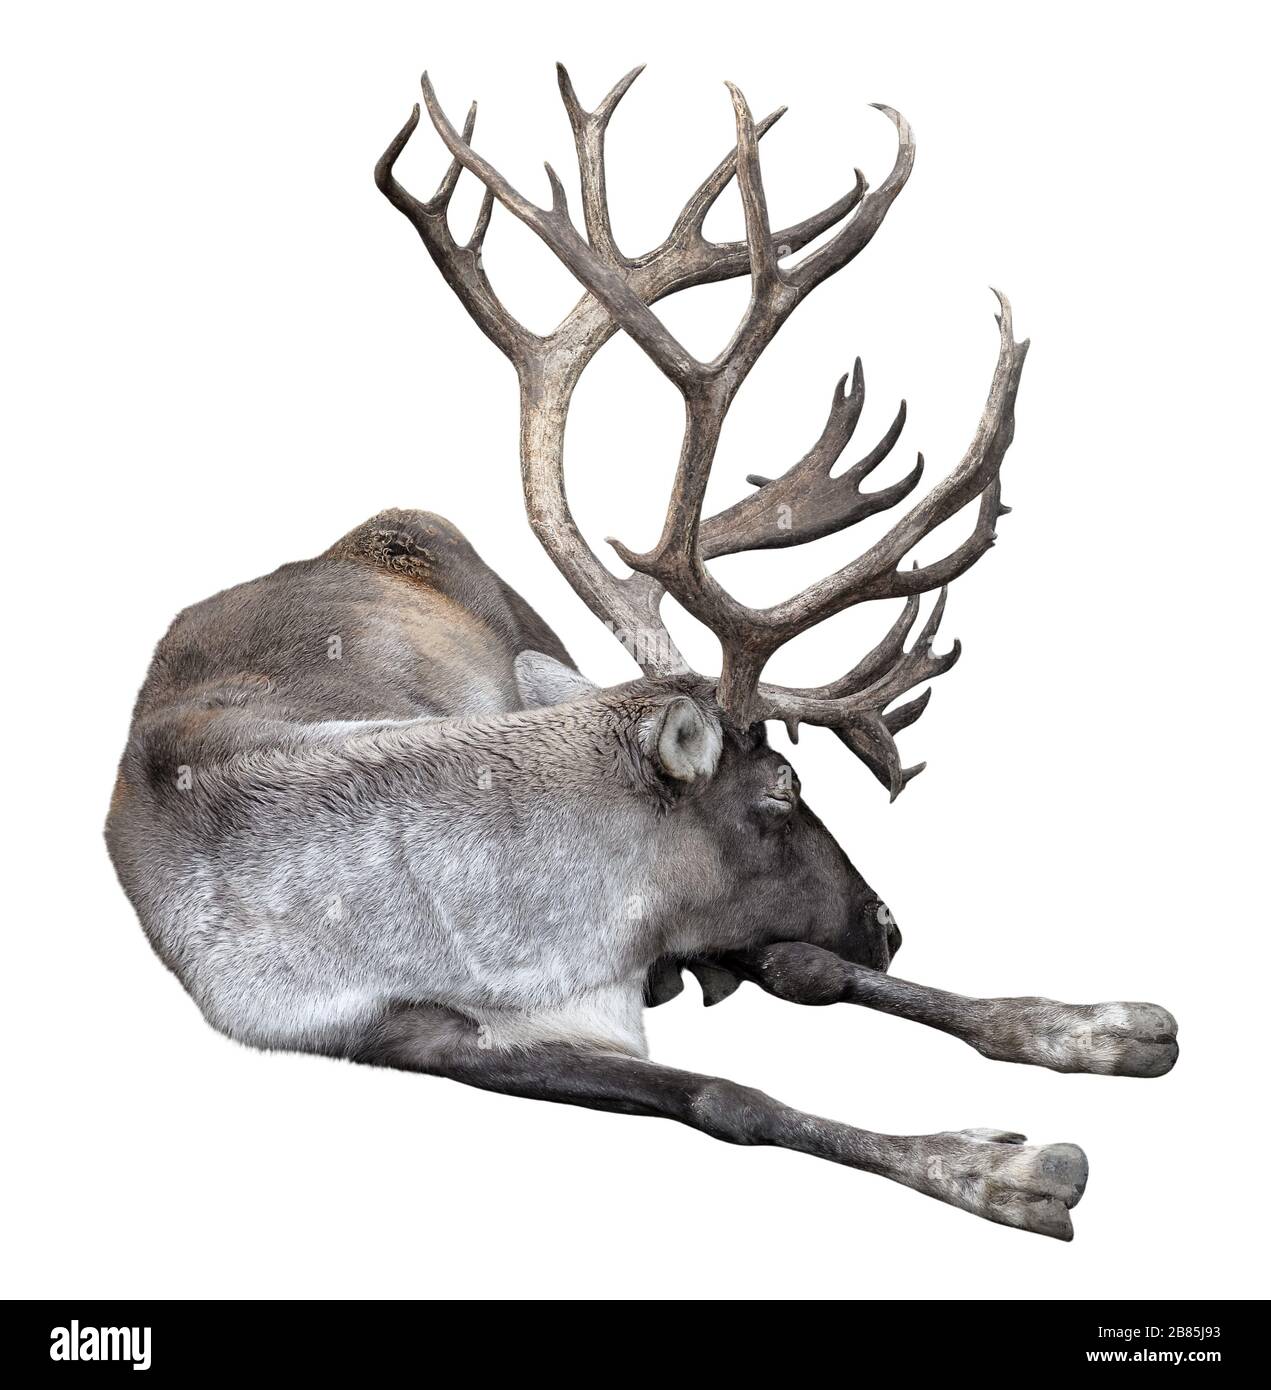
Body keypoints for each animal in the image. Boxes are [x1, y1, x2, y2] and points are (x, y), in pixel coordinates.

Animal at [105, 65, 1178, 1241]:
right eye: (782, 785)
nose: (892, 925)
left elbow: (801, 968)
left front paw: (1094, 1029)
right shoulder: (408, 1033)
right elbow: (727, 1096)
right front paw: (997, 1165)